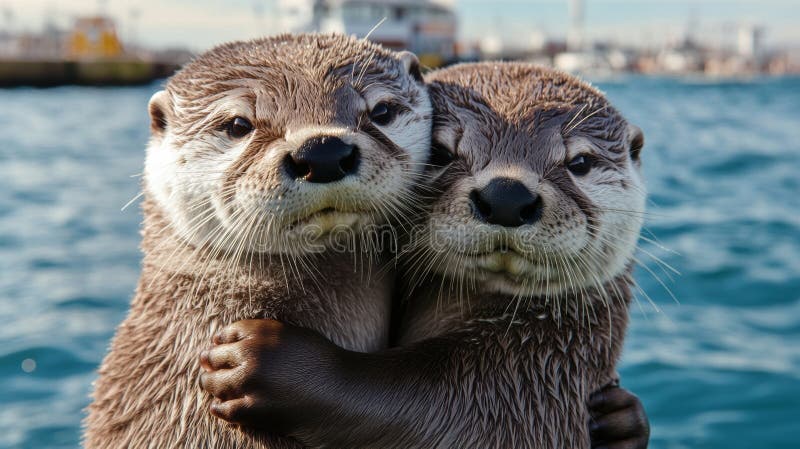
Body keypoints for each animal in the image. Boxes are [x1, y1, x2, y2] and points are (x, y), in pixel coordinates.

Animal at [200, 62, 649, 448]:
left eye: (580, 162)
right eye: (443, 152)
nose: (506, 196)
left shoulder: (524, 383)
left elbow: (421, 406)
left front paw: (263, 361)